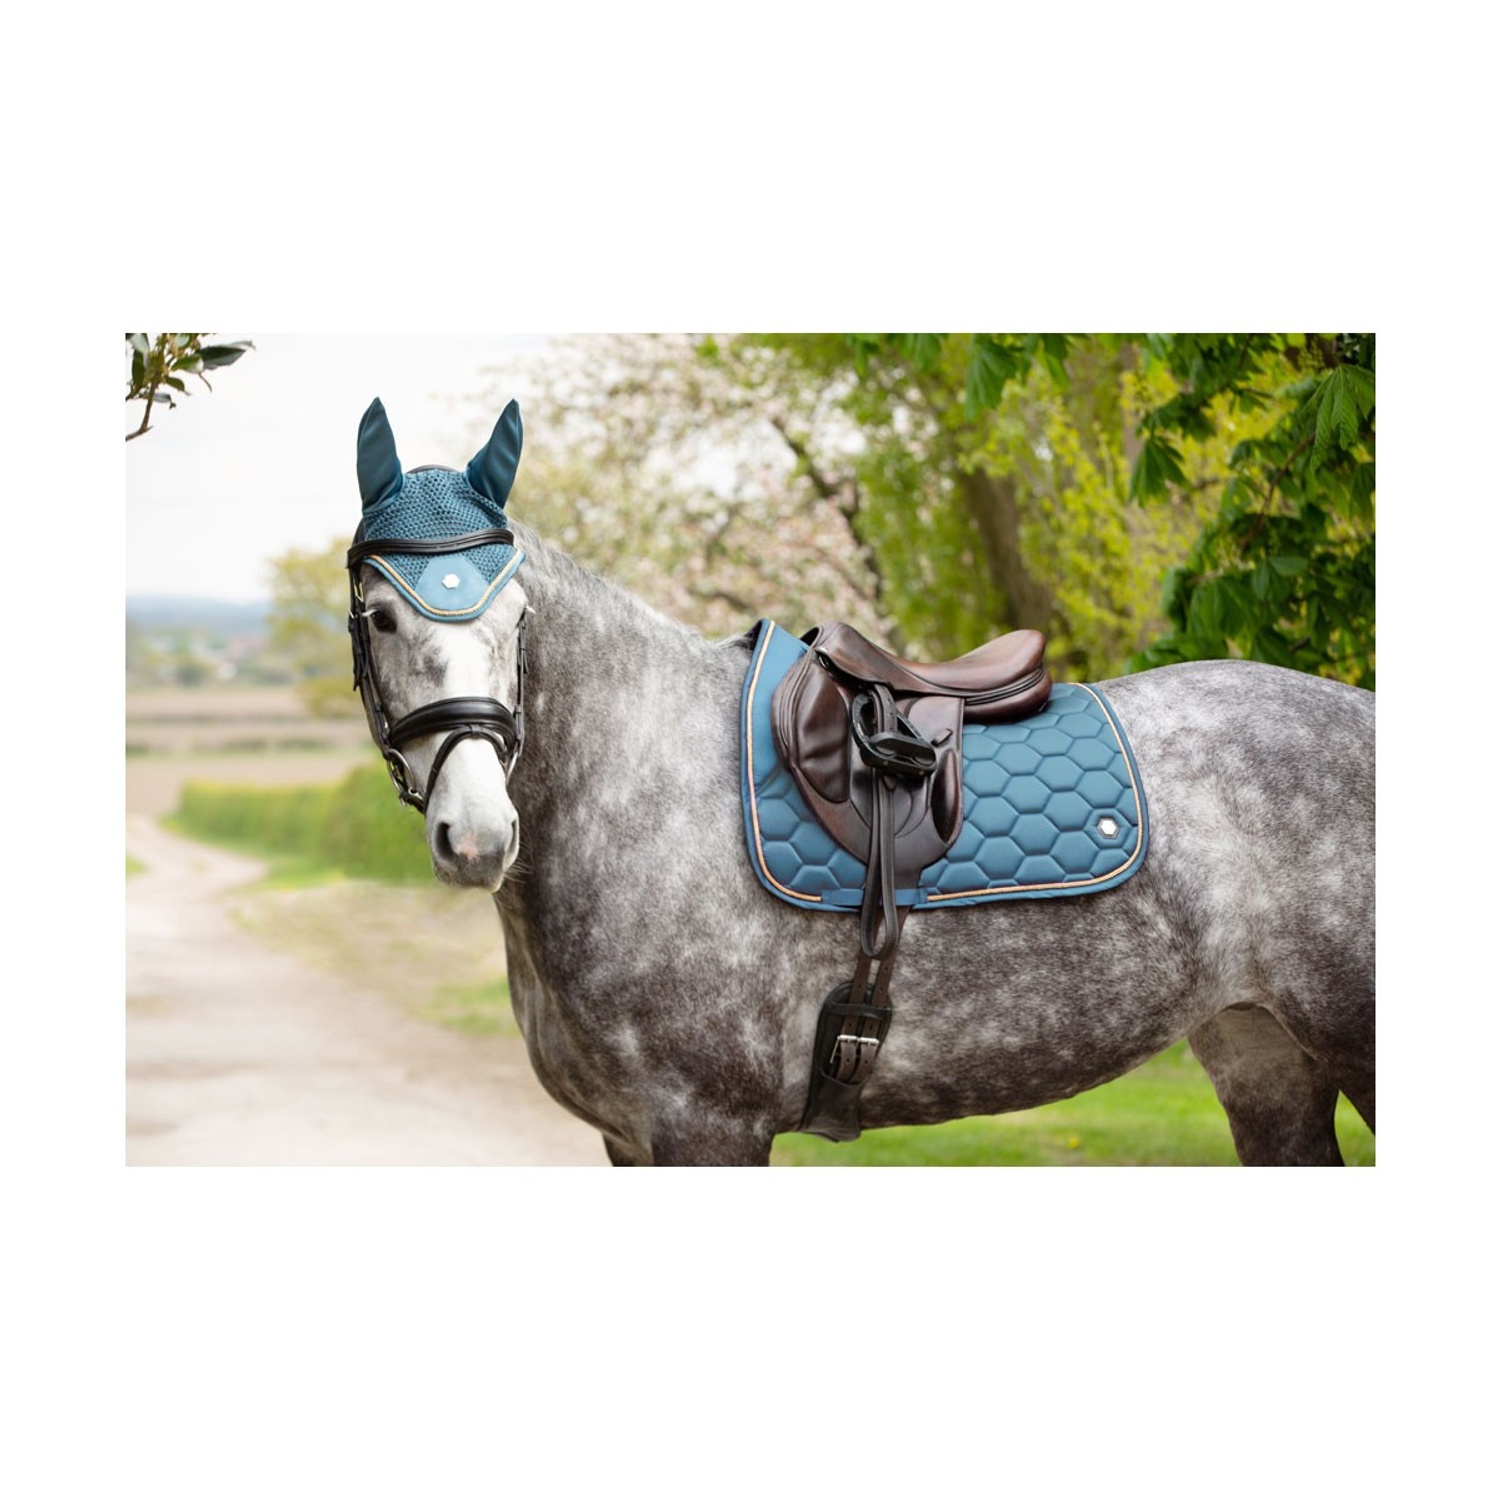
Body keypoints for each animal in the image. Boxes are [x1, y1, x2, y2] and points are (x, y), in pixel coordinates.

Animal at [347, 399, 1376, 1167]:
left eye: (516, 615)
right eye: (381, 615)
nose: (478, 834)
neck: (635, 785)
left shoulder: (707, 1125)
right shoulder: (628, 1136)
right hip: (1263, 1053)